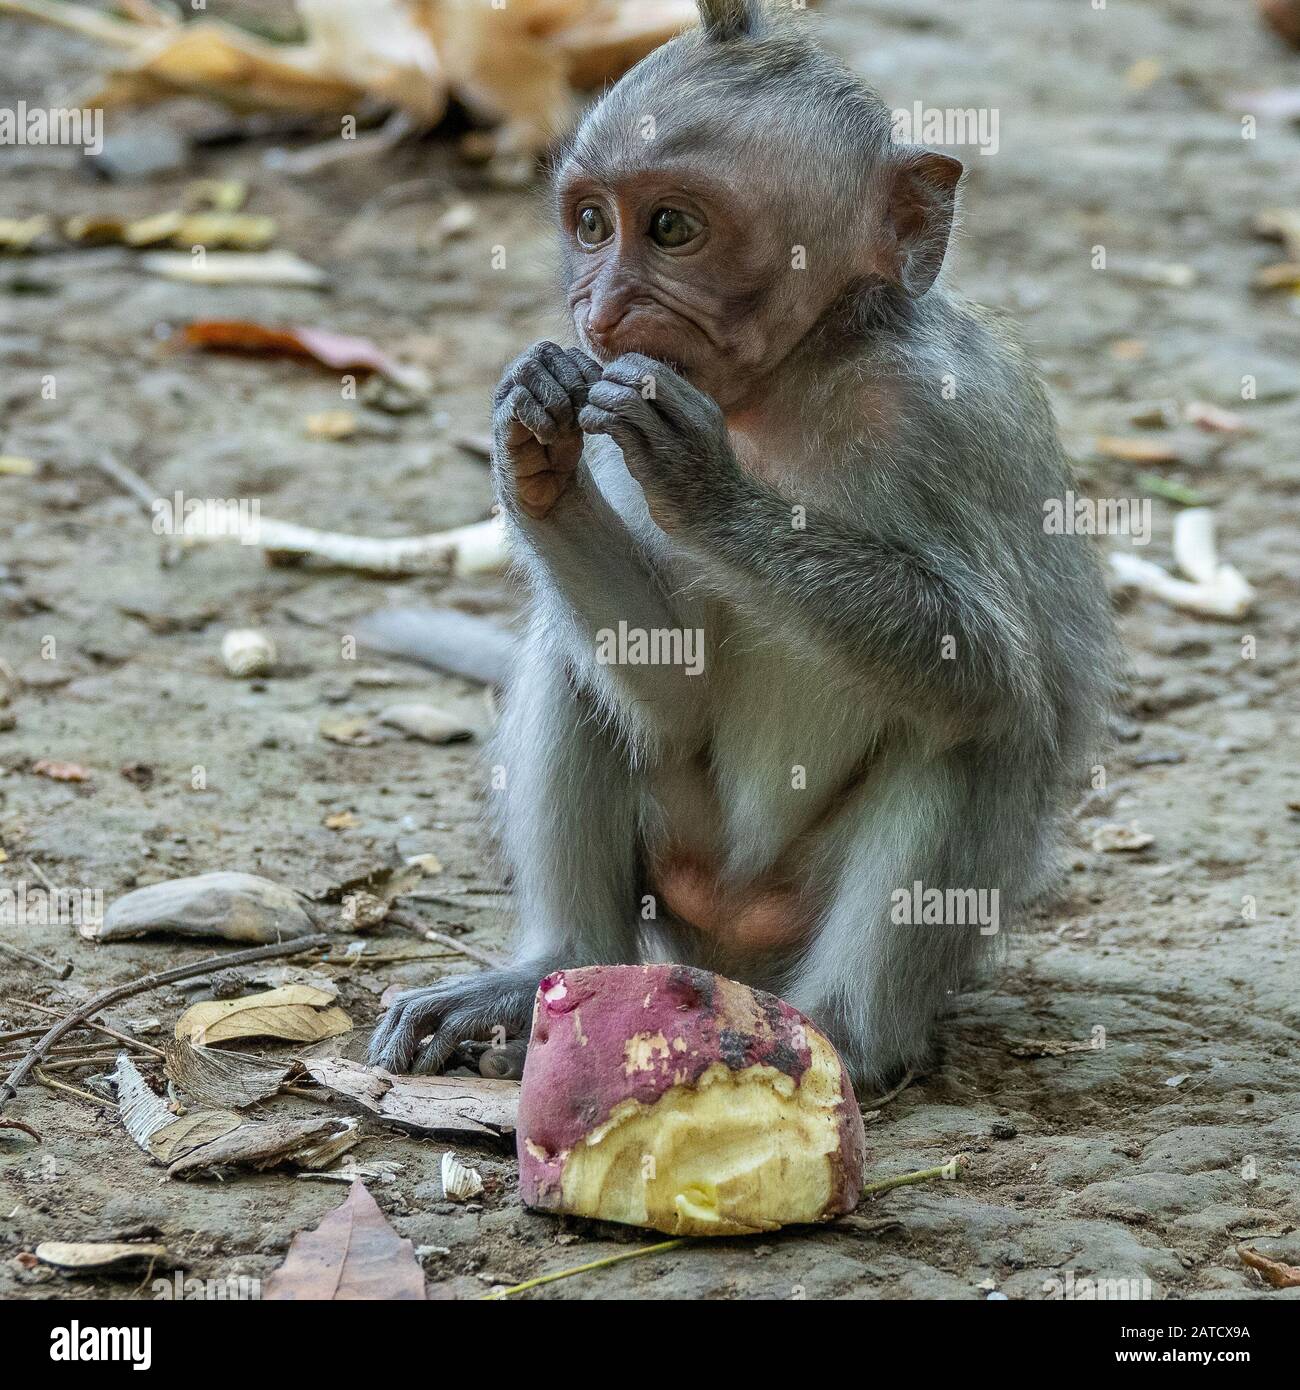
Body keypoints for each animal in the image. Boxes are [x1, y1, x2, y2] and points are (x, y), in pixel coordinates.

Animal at [370, 0, 1119, 1092]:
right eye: (591, 224)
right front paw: (531, 445)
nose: (598, 311)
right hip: (681, 869)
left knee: (972, 732)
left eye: (672, 228)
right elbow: (669, 686)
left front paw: (702, 483)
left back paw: (844, 1032)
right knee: (578, 669)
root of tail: (734, 950)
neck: (787, 388)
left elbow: (987, 667)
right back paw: (549, 969)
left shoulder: (950, 421)